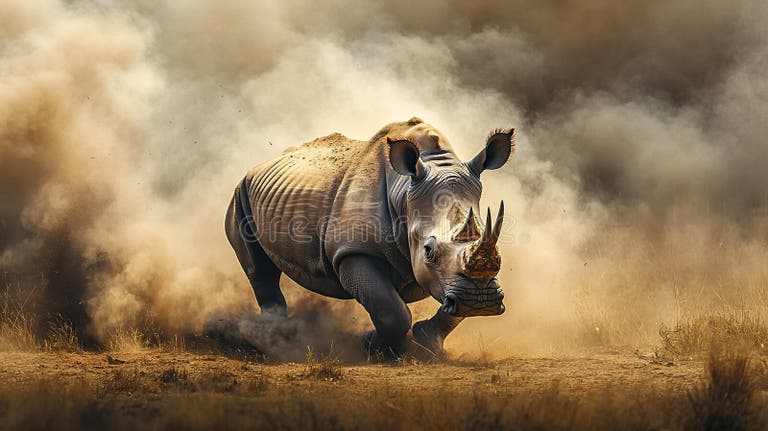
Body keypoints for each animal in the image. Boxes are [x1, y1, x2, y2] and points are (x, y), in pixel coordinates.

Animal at [224, 117, 514, 357]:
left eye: (498, 252)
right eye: (429, 251)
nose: (480, 301)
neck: (404, 194)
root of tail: (260, 164)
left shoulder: (456, 281)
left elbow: (451, 302)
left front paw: (425, 343)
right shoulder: (352, 250)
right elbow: (391, 310)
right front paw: (371, 345)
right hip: (241, 193)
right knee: (259, 270)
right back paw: (277, 338)